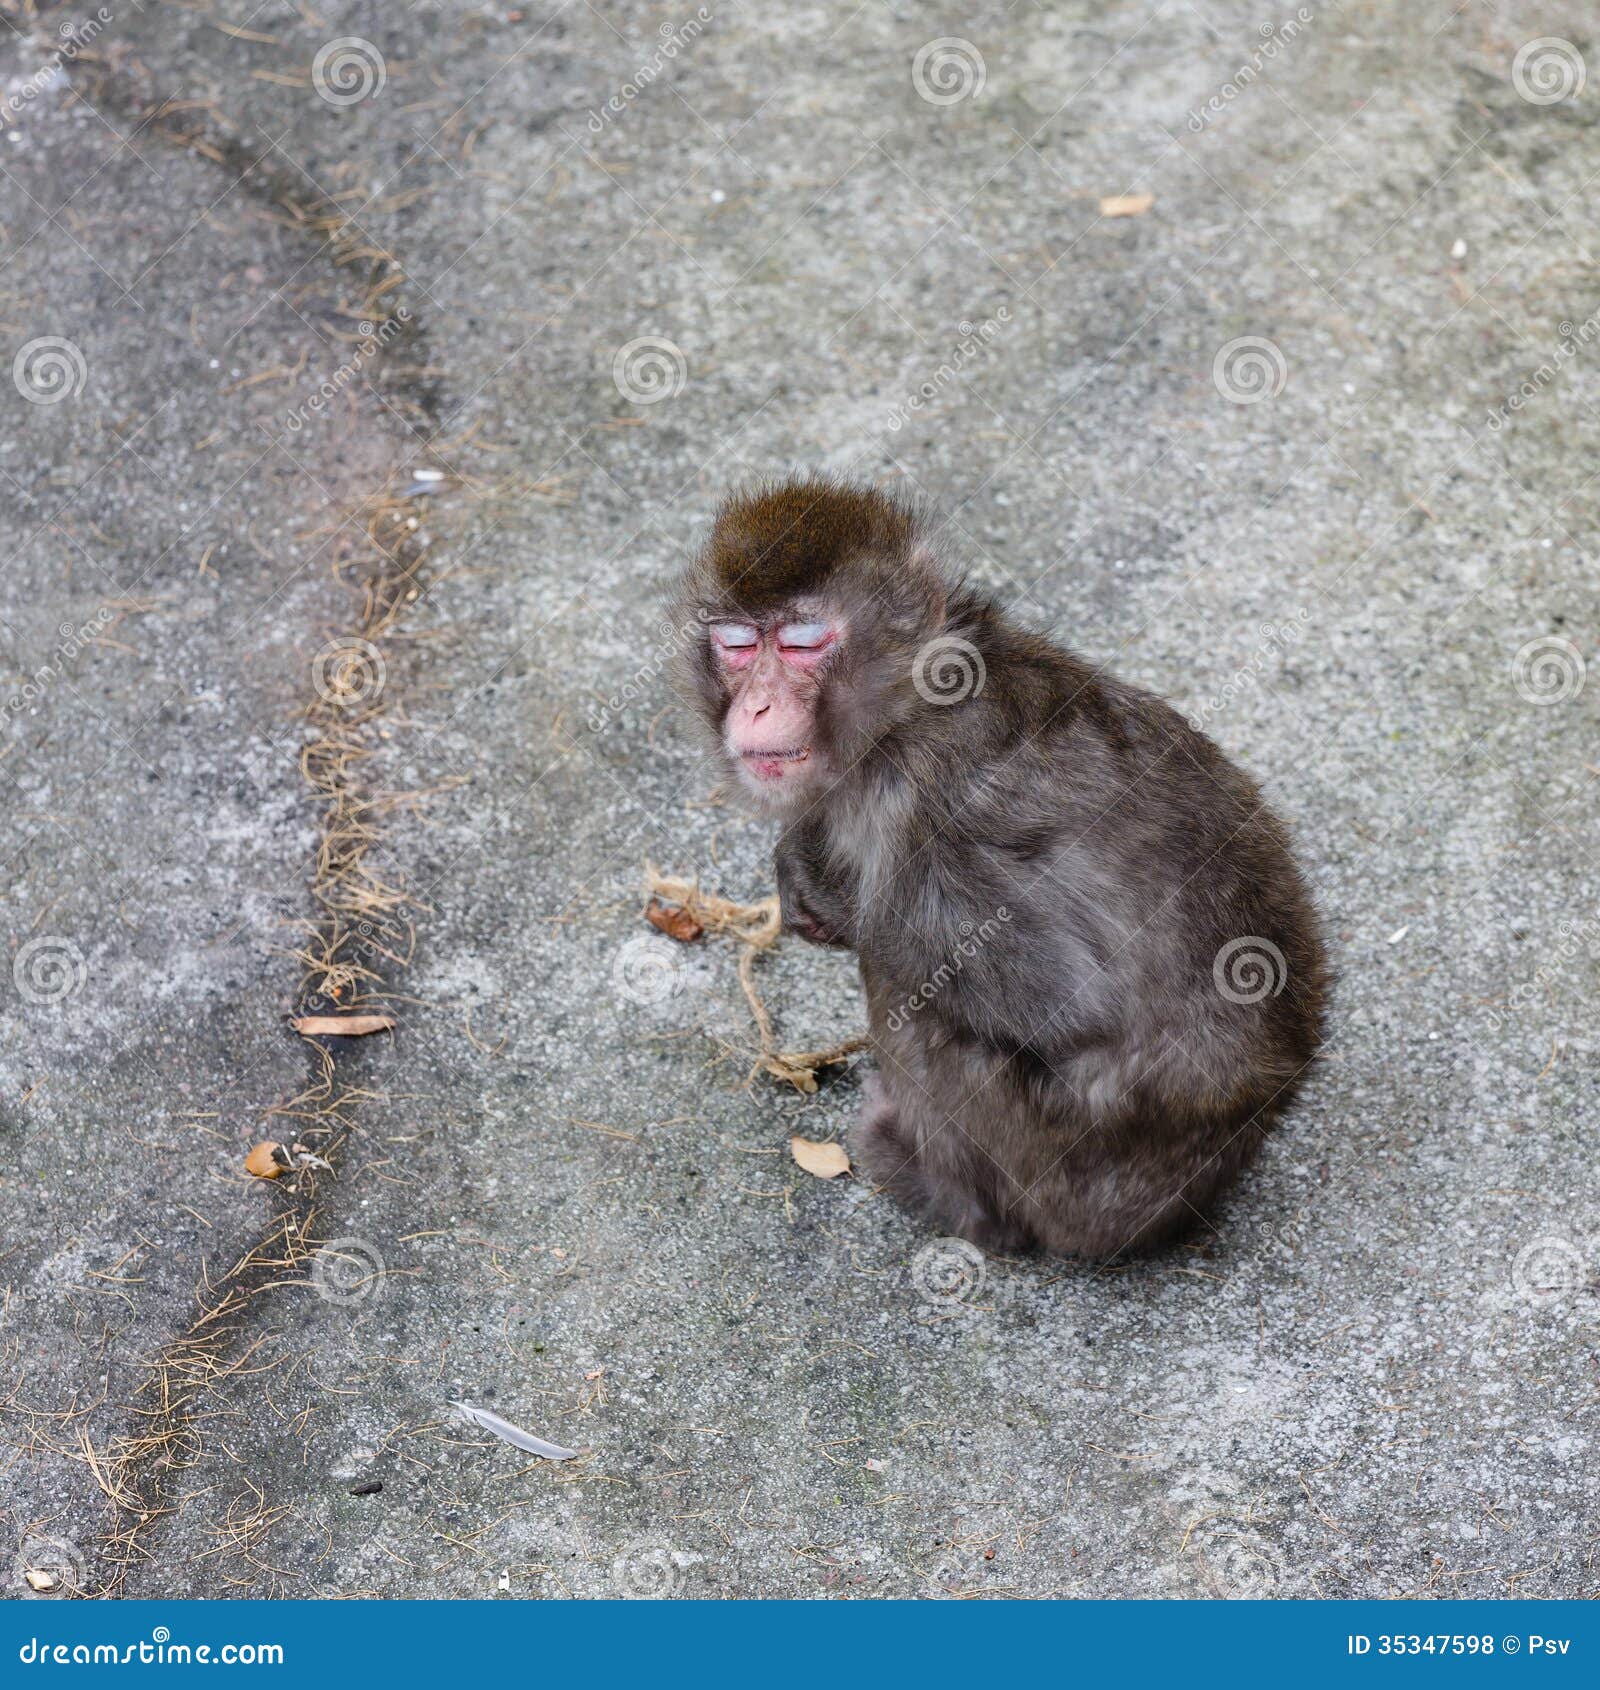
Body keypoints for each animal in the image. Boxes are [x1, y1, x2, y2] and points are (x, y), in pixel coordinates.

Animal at [675, 476, 1327, 1258]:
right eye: (737, 644)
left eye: (804, 644)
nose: (757, 706)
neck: (906, 707)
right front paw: (799, 856)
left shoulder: (930, 804)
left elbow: (1062, 999)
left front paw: (825, 888)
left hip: (1066, 1175)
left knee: (916, 996)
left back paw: (951, 1198)